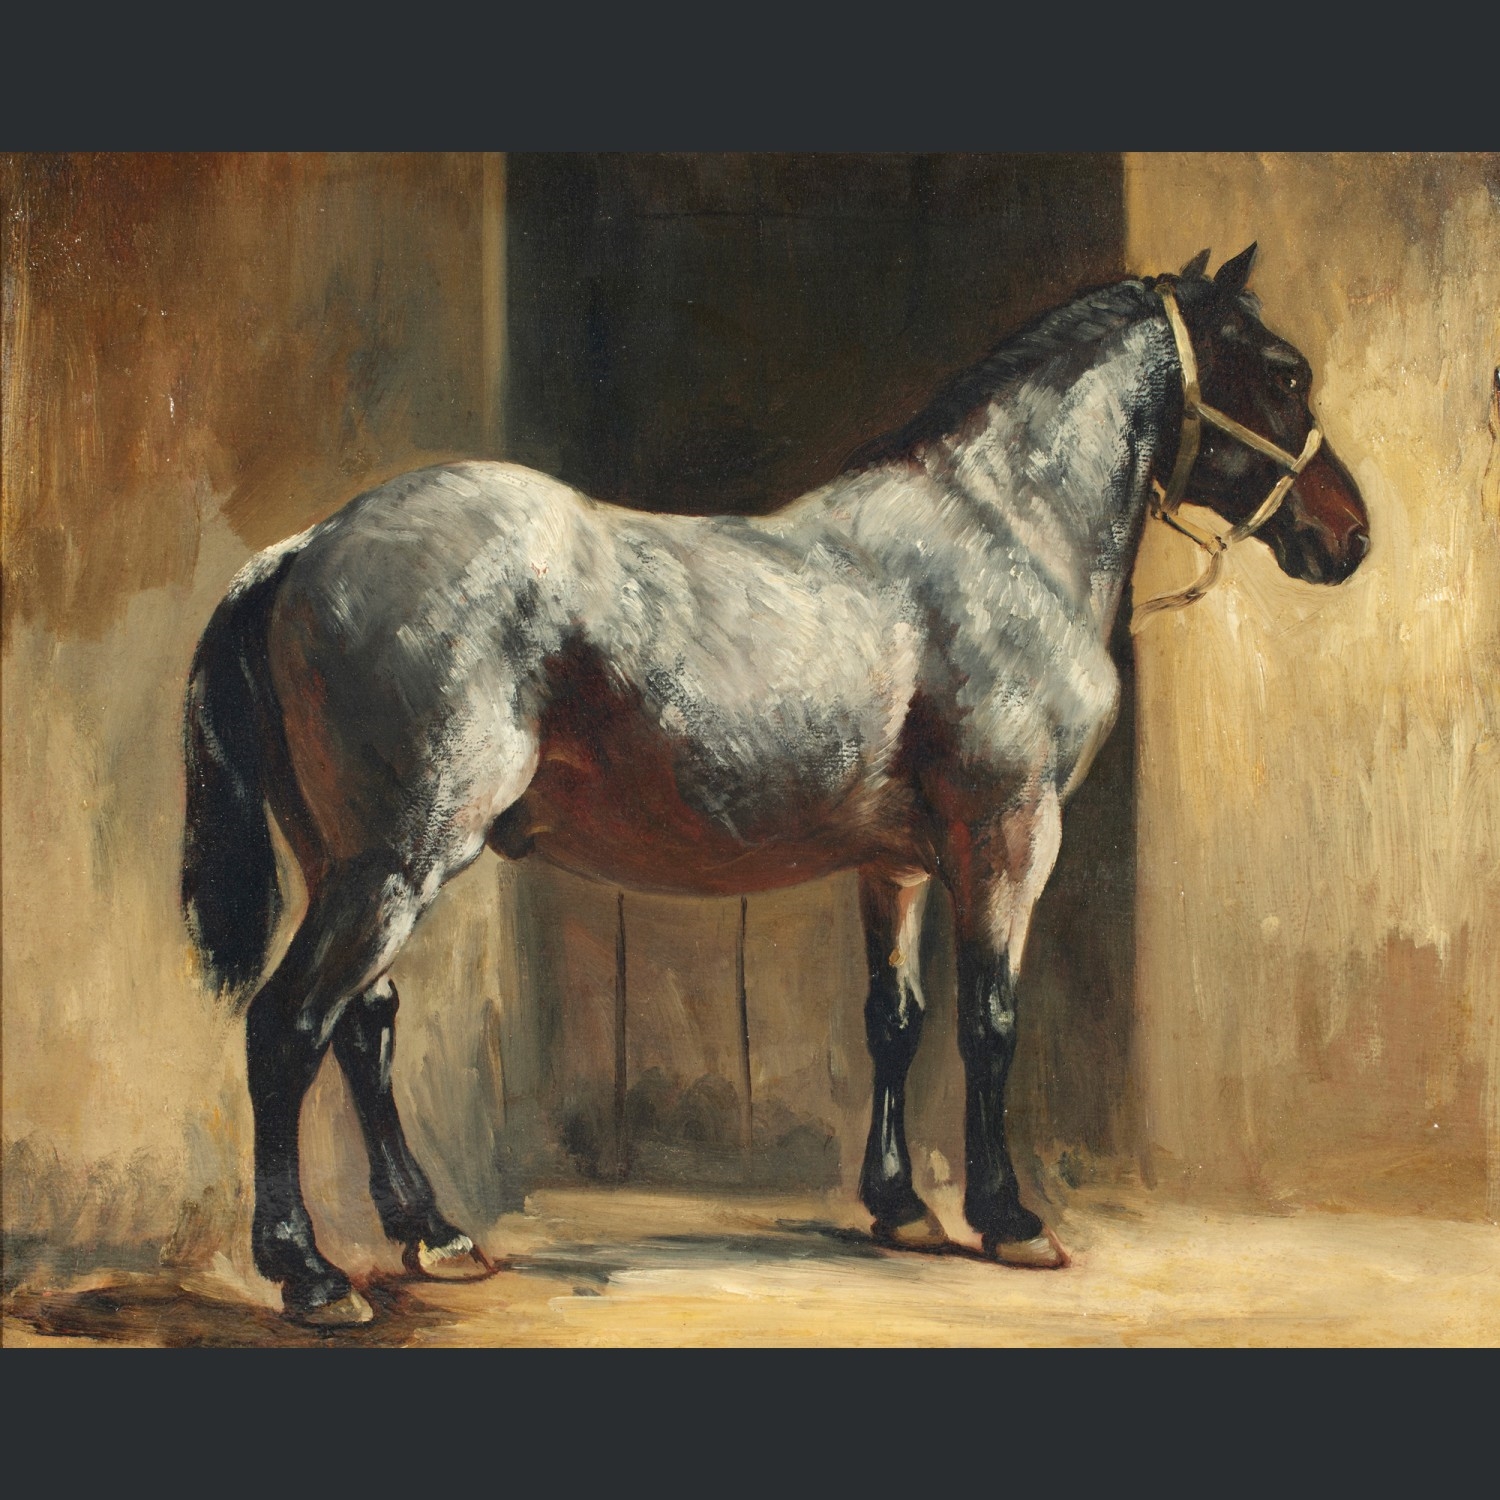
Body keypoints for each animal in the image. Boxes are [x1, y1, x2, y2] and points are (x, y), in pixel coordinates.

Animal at [181, 244, 1370, 1325]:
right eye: (1284, 372)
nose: (1350, 536)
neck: (1001, 536)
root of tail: (303, 550)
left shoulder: (896, 864)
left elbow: (895, 1018)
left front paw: (900, 1208)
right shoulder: (1008, 835)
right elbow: (990, 1021)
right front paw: (1009, 1220)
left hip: (353, 863)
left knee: (364, 1028)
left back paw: (432, 1234)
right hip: (398, 861)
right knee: (290, 1028)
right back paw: (310, 1274)